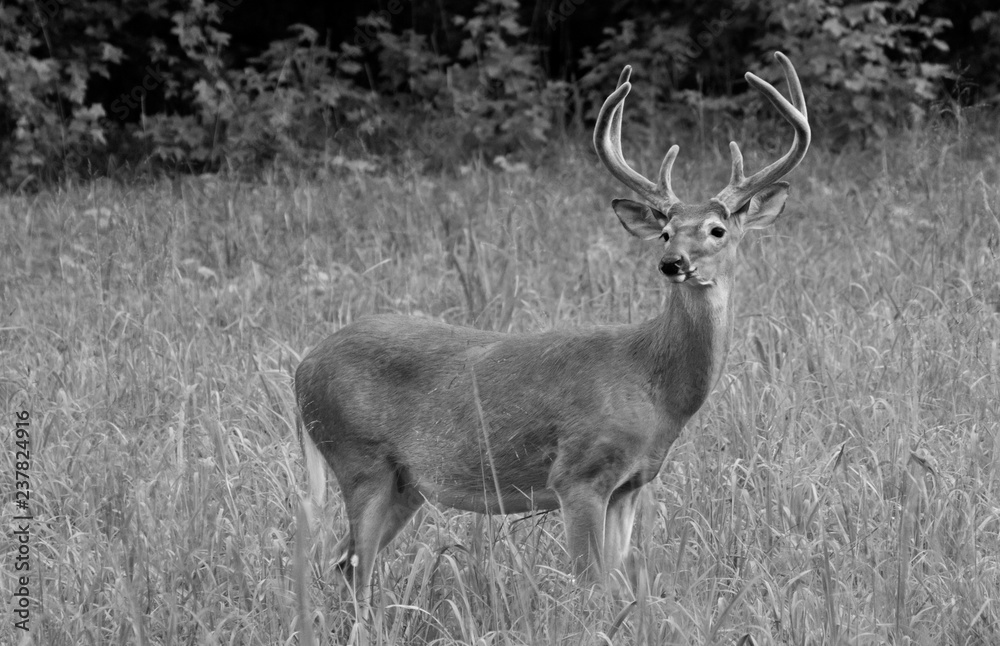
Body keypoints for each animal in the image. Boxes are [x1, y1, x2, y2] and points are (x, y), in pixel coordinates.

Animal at [295, 51, 809, 604]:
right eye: (666, 232)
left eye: (717, 230)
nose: (673, 263)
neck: (653, 383)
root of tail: (301, 369)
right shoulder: (577, 473)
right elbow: (591, 584)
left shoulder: (630, 485)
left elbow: (620, 583)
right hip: (359, 458)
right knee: (355, 565)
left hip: (405, 482)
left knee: (342, 562)